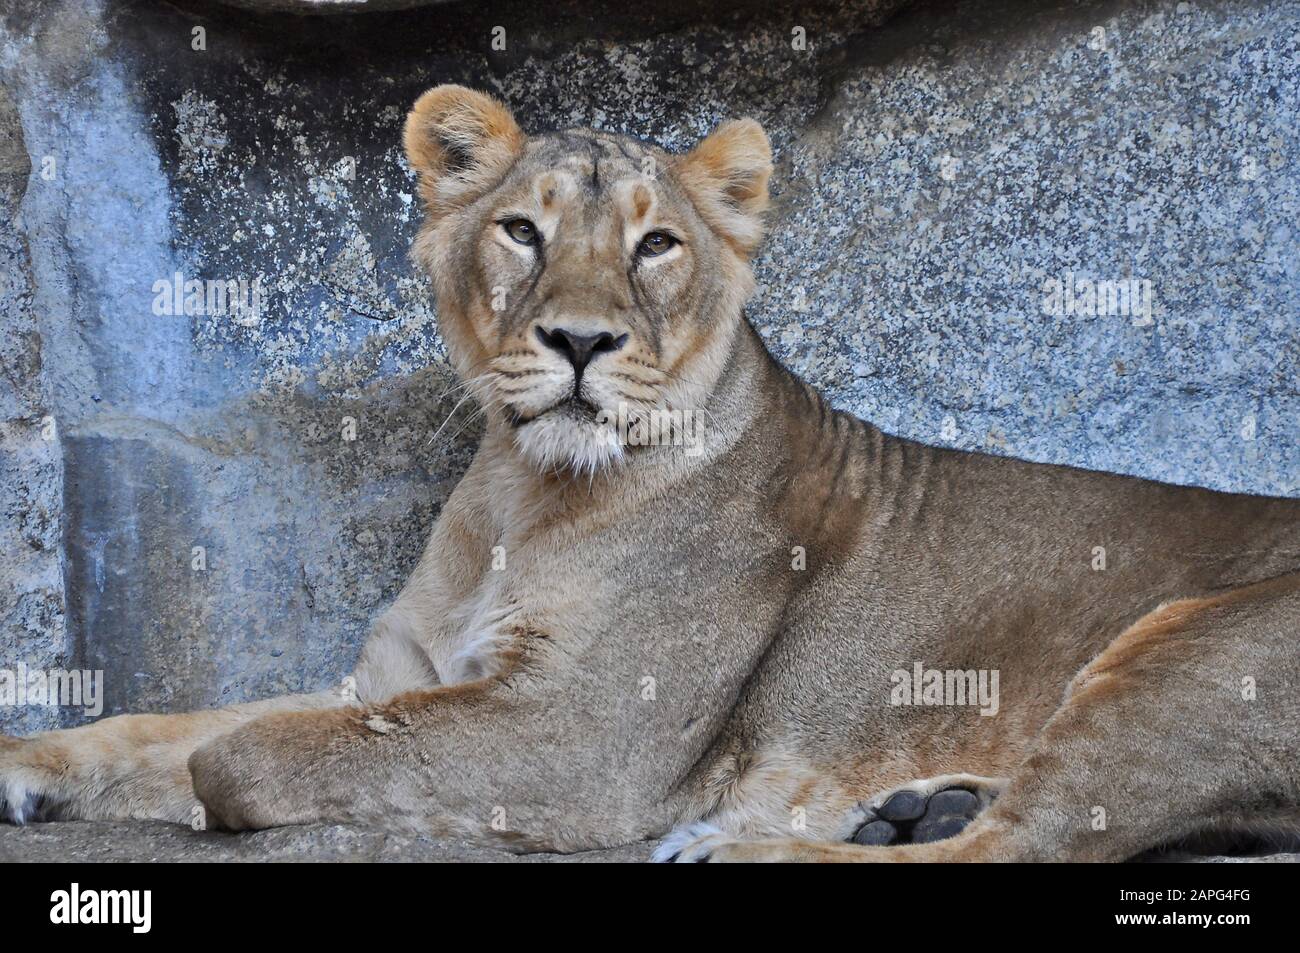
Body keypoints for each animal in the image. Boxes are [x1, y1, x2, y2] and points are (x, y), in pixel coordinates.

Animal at [2, 86, 1298, 863]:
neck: (524, 492)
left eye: (657, 243)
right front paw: (30, 766)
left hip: (1186, 652)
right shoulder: (399, 673)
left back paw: (758, 842)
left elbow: (242, 750)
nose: (580, 340)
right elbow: (166, 725)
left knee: (1029, 845)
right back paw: (913, 807)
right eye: (522, 230)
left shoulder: (587, 735)